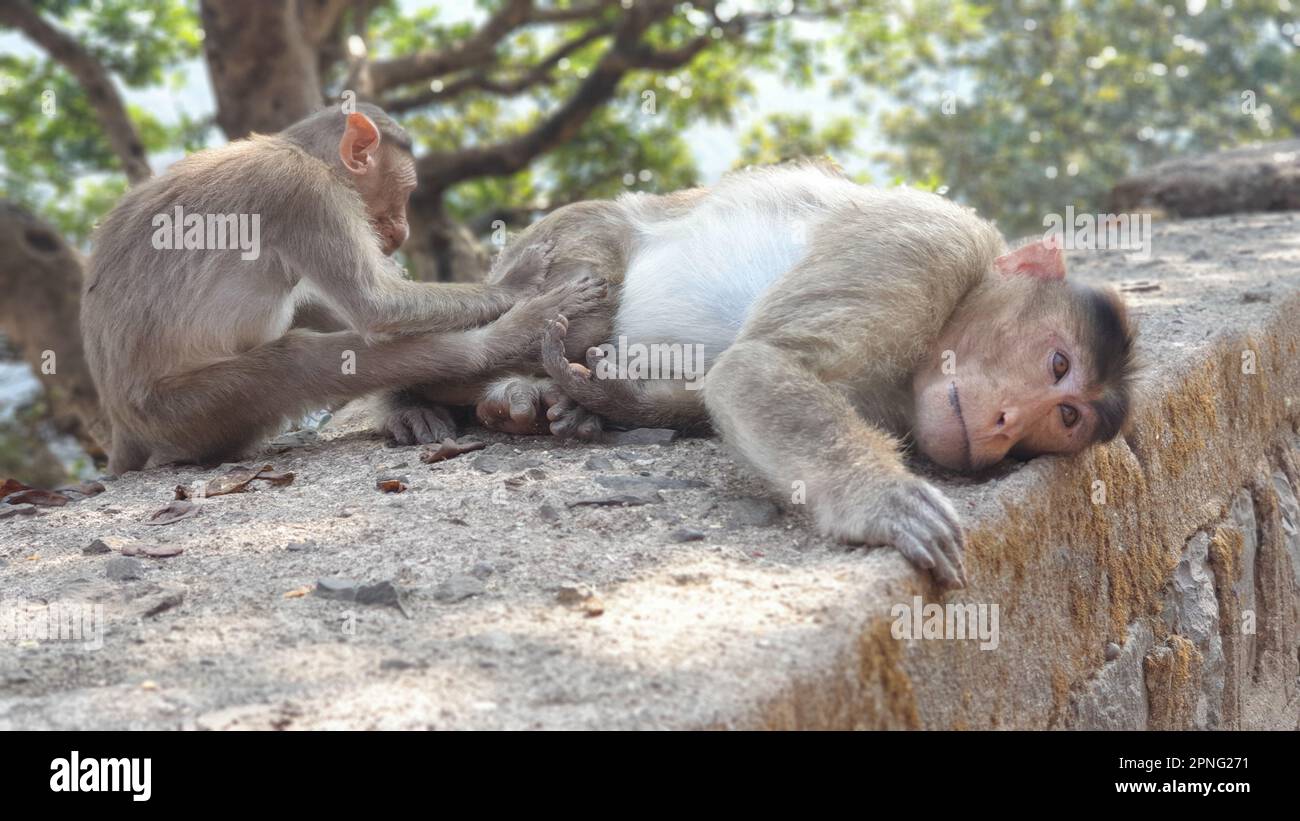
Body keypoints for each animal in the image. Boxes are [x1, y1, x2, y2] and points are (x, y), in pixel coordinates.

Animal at [81, 102, 606, 474]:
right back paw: (508, 337)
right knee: (299, 361)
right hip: (182, 411)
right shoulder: (304, 192)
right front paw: (518, 288)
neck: (294, 149)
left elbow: (330, 302)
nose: (404, 232)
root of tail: (120, 421)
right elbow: (375, 305)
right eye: (406, 191)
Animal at [407, 162, 1138, 588]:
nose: (1005, 424)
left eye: (1063, 417)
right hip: (565, 242)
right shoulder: (928, 247)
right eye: (1057, 364)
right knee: (583, 290)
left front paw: (605, 396)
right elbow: (760, 362)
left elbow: (727, 375)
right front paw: (882, 499)